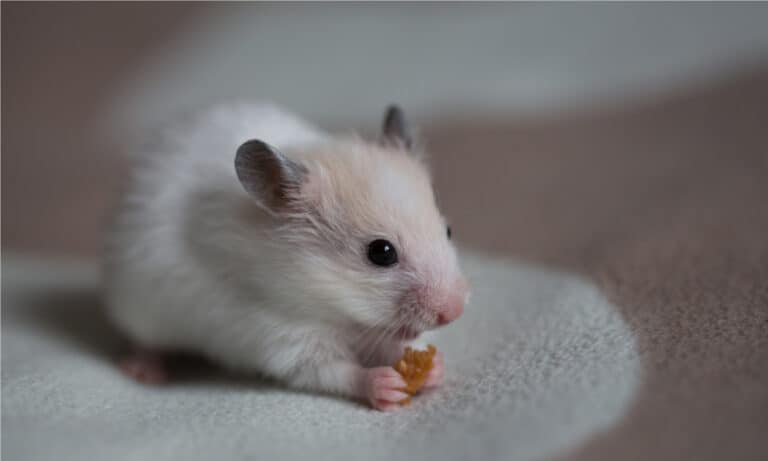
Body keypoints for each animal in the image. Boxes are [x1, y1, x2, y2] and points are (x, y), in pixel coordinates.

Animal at [103, 103, 468, 410]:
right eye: (381, 252)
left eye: (449, 230)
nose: (454, 312)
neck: (335, 312)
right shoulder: (279, 337)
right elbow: (330, 371)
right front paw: (386, 385)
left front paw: (434, 369)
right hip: (139, 308)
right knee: (142, 341)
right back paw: (145, 372)